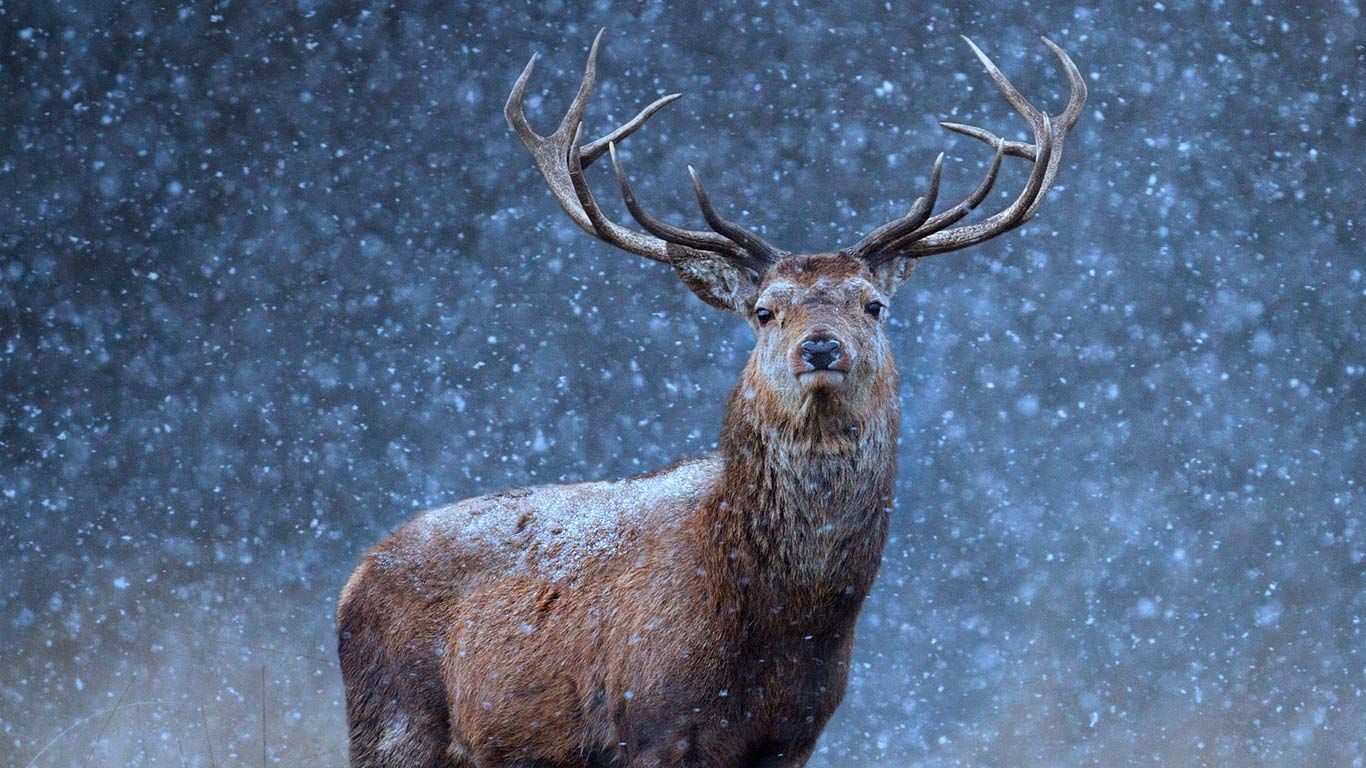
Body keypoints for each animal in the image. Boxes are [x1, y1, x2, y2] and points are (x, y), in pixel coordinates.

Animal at [337, 29, 1085, 768]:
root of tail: (355, 577)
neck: (776, 627)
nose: (820, 348)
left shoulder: (794, 736)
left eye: (873, 305)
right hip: (395, 724)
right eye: (764, 310)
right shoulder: (650, 723)